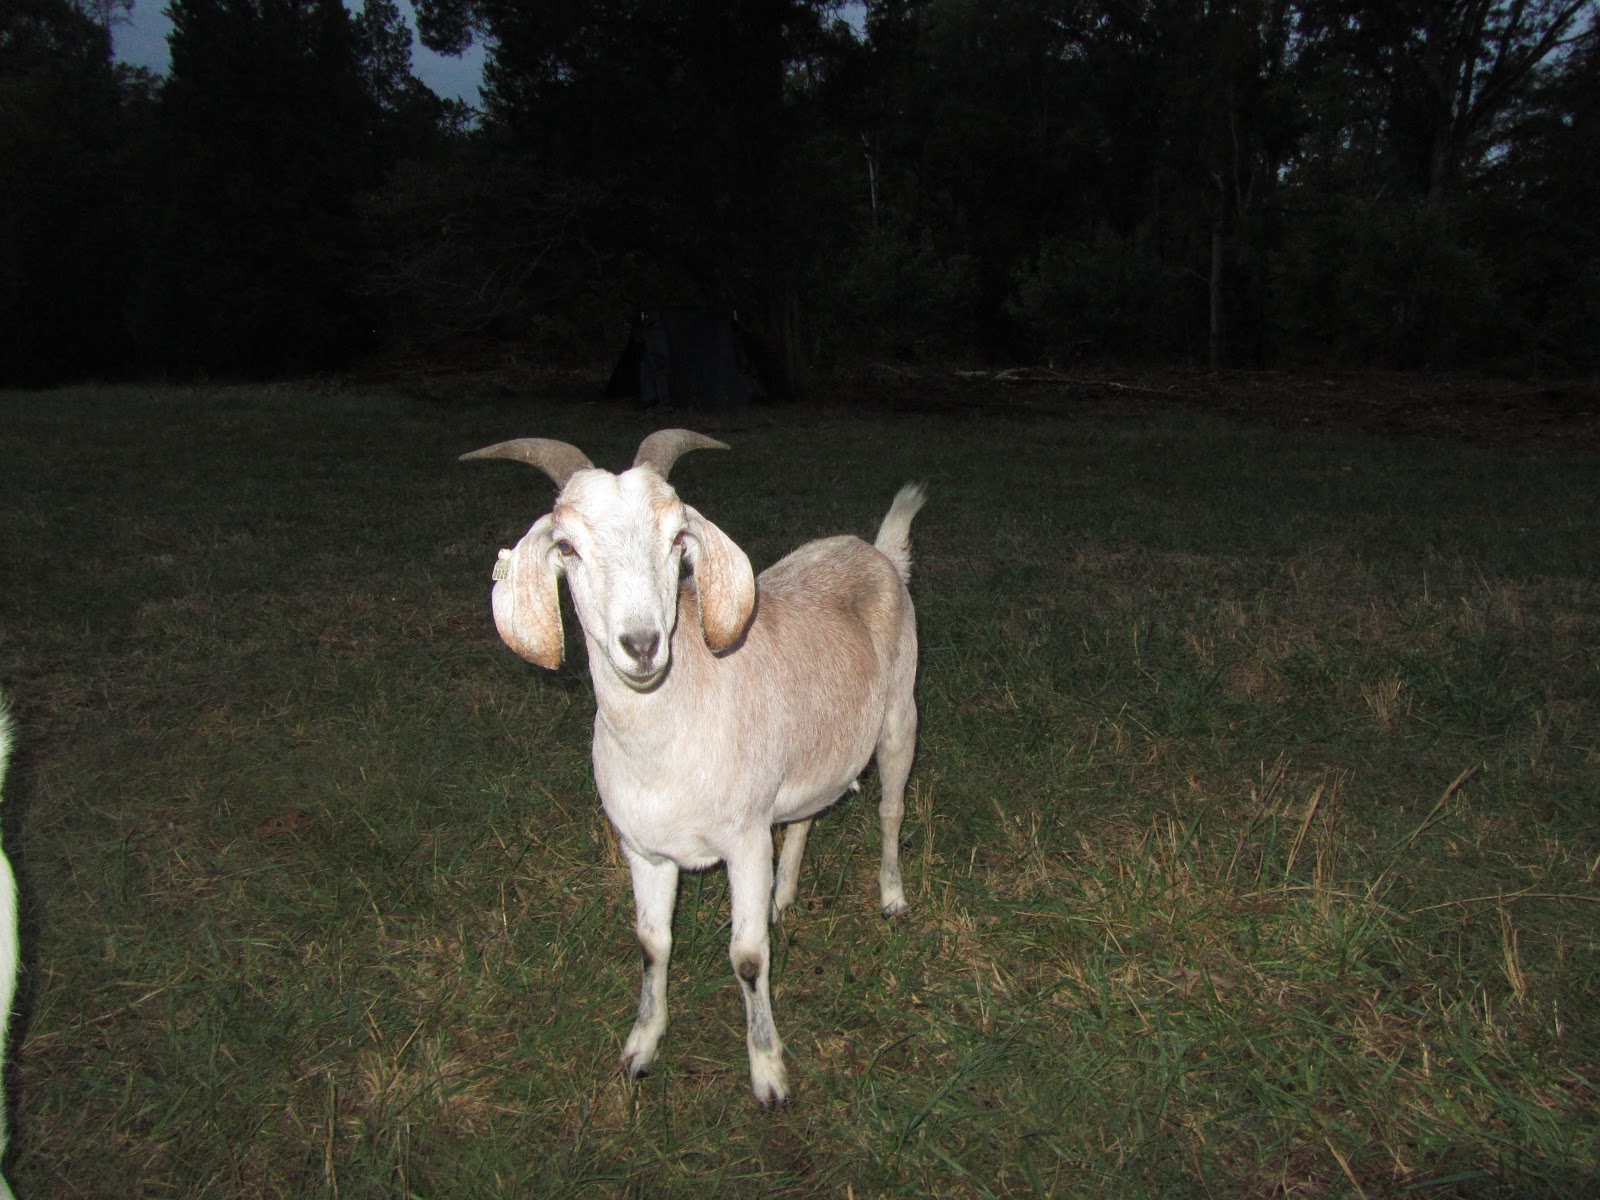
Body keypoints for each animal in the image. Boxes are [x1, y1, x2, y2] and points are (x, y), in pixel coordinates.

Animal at [462, 430, 924, 1105]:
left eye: (678, 538)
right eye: (567, 547)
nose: (642, 644)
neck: (666, 746)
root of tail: (877, 553)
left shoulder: (744, 841)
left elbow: (748, 957)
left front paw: (768, 1072)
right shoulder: (643, 849)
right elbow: (653, 946)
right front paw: (641, 1046)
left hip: (898, 716)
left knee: (891, 807)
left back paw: (891, 896)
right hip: (813, 752)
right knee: (808, 814)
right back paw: (785, 895)